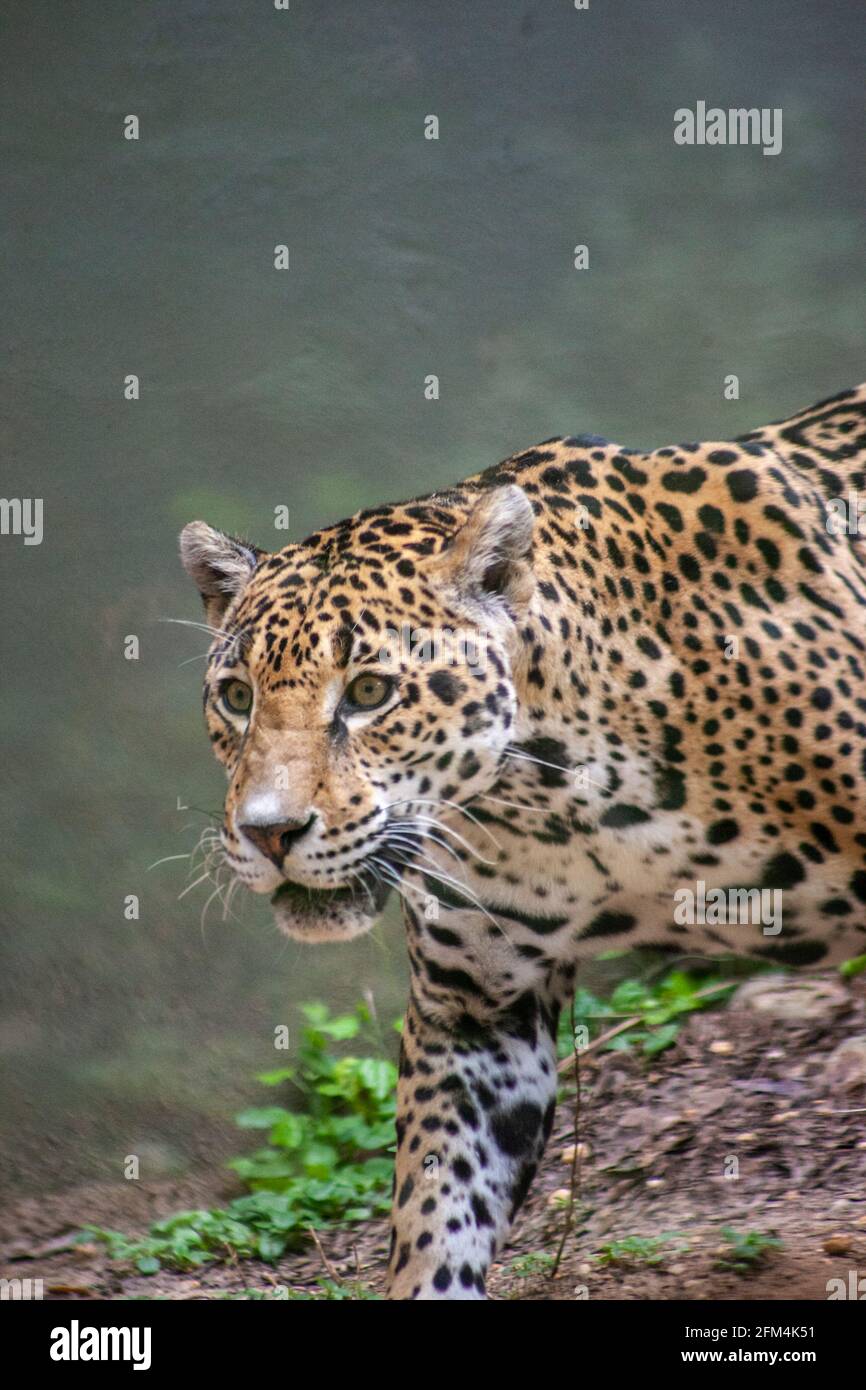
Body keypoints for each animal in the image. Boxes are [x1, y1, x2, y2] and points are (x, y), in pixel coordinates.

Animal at [180, 383, 866, 1299]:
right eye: (236, 697)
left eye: (368, 691)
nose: (268, 831)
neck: (554, 798)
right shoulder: (477, 1012)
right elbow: (437, 1212)